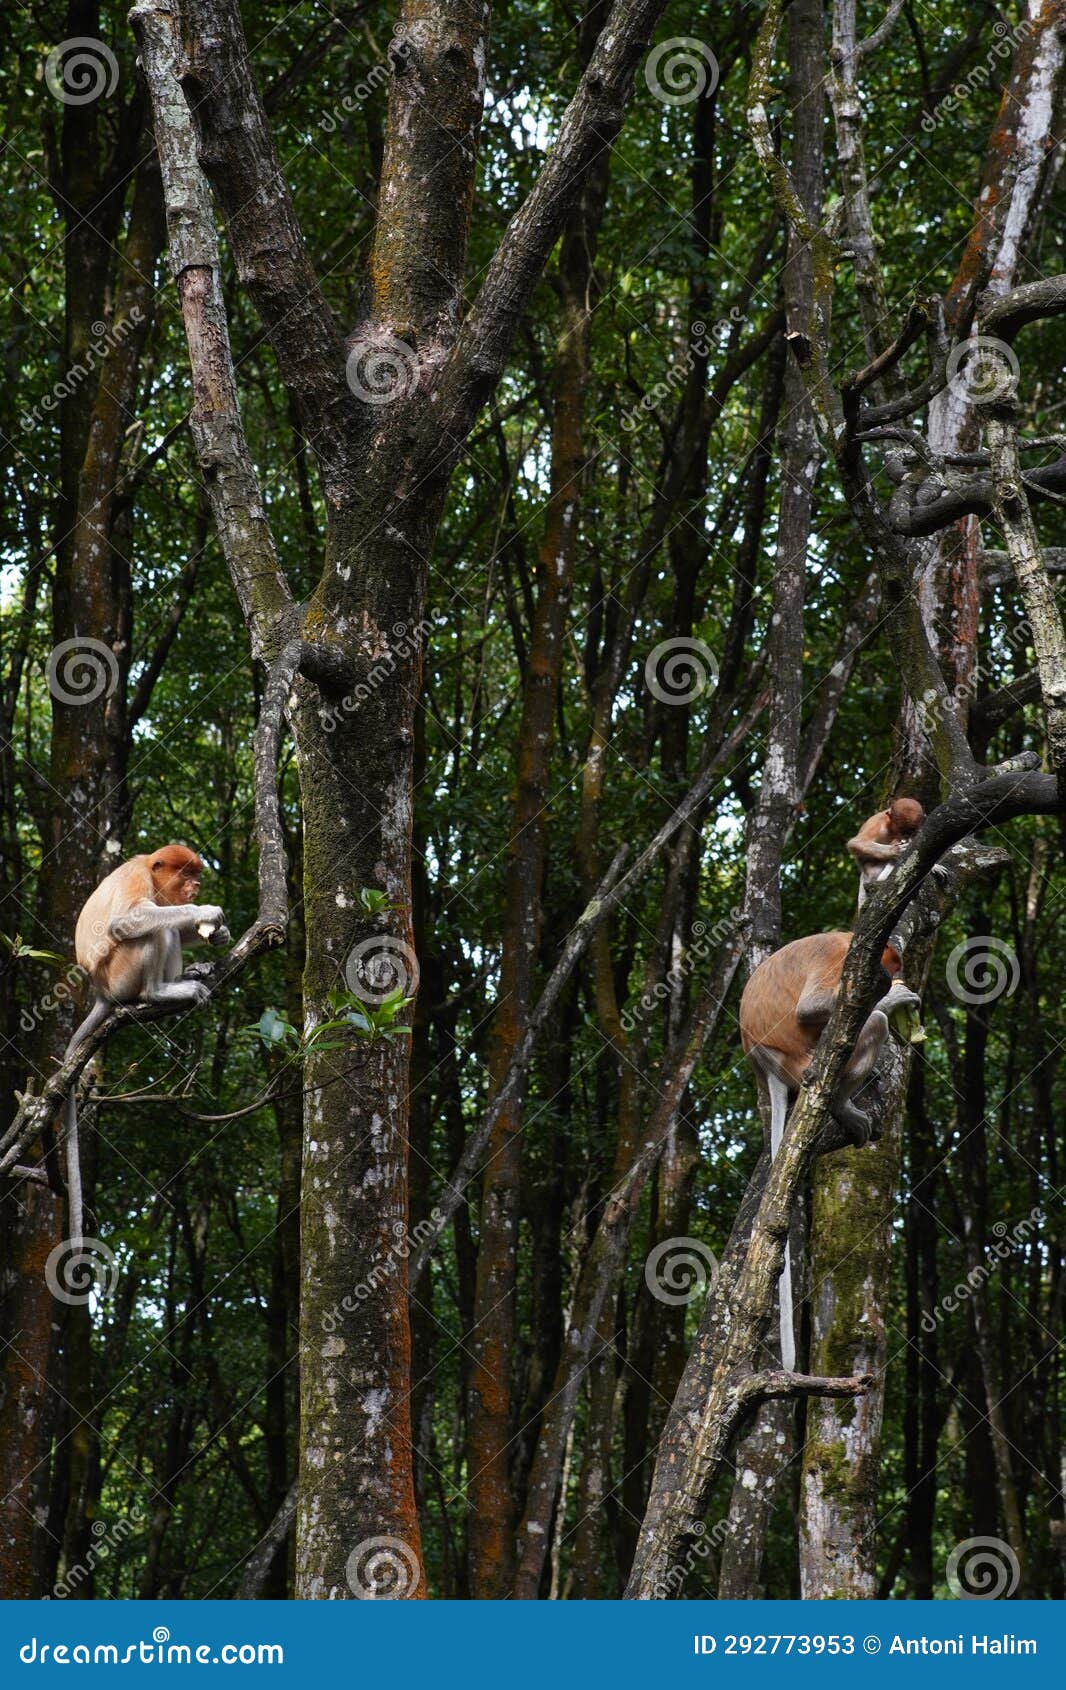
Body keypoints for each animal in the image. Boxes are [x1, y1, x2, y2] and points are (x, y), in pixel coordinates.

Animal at [60, 844, 229, 1247]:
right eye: (185, 873)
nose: (196, 887)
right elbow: (126, 921)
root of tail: (102, 992)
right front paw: (205, 913)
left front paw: (219, 936)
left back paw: (191, 973)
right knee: (155, 930)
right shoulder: (138, 880)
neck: (151, 872)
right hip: (122, 975)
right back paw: (161, 991)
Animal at [739, 932, 921, 1369]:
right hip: (806, 1057)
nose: (893, 976)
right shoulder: (839, 961)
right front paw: (894, 999)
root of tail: (765, 1062)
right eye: (890, 966)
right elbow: (813, 1007)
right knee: (868, 1025)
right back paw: (841, 1104)